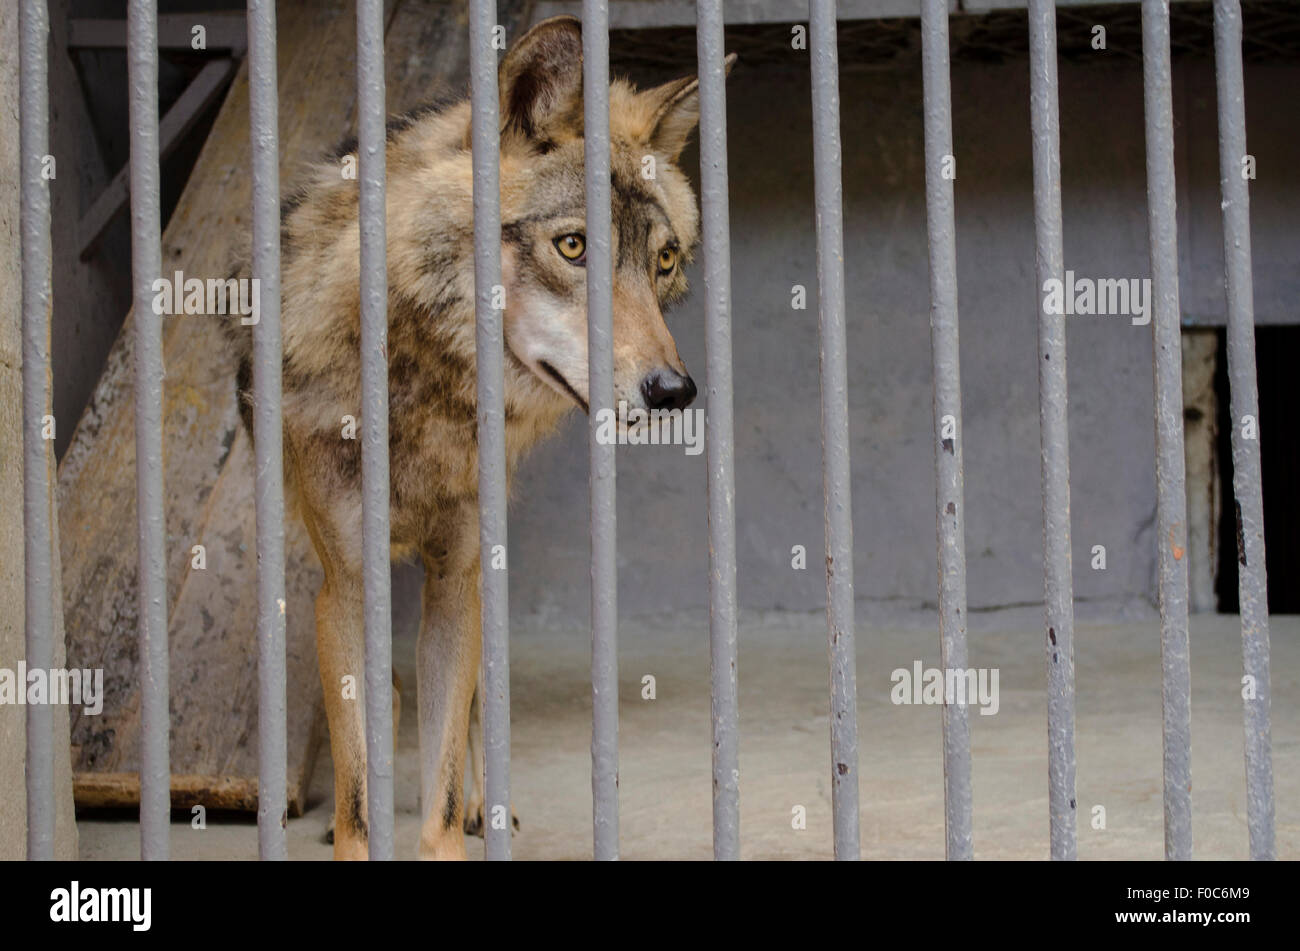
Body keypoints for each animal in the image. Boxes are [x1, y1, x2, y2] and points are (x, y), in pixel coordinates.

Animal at [227, 15, 730, 859]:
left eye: (662, 261)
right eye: (573, 246)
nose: (672, 391)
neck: (423, 397)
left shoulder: (456, 575)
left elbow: (441, 770)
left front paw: (456, 821)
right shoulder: (346, 585)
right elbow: (361, 786)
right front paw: (358, 826)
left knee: (473, 710)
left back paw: (483, 804)